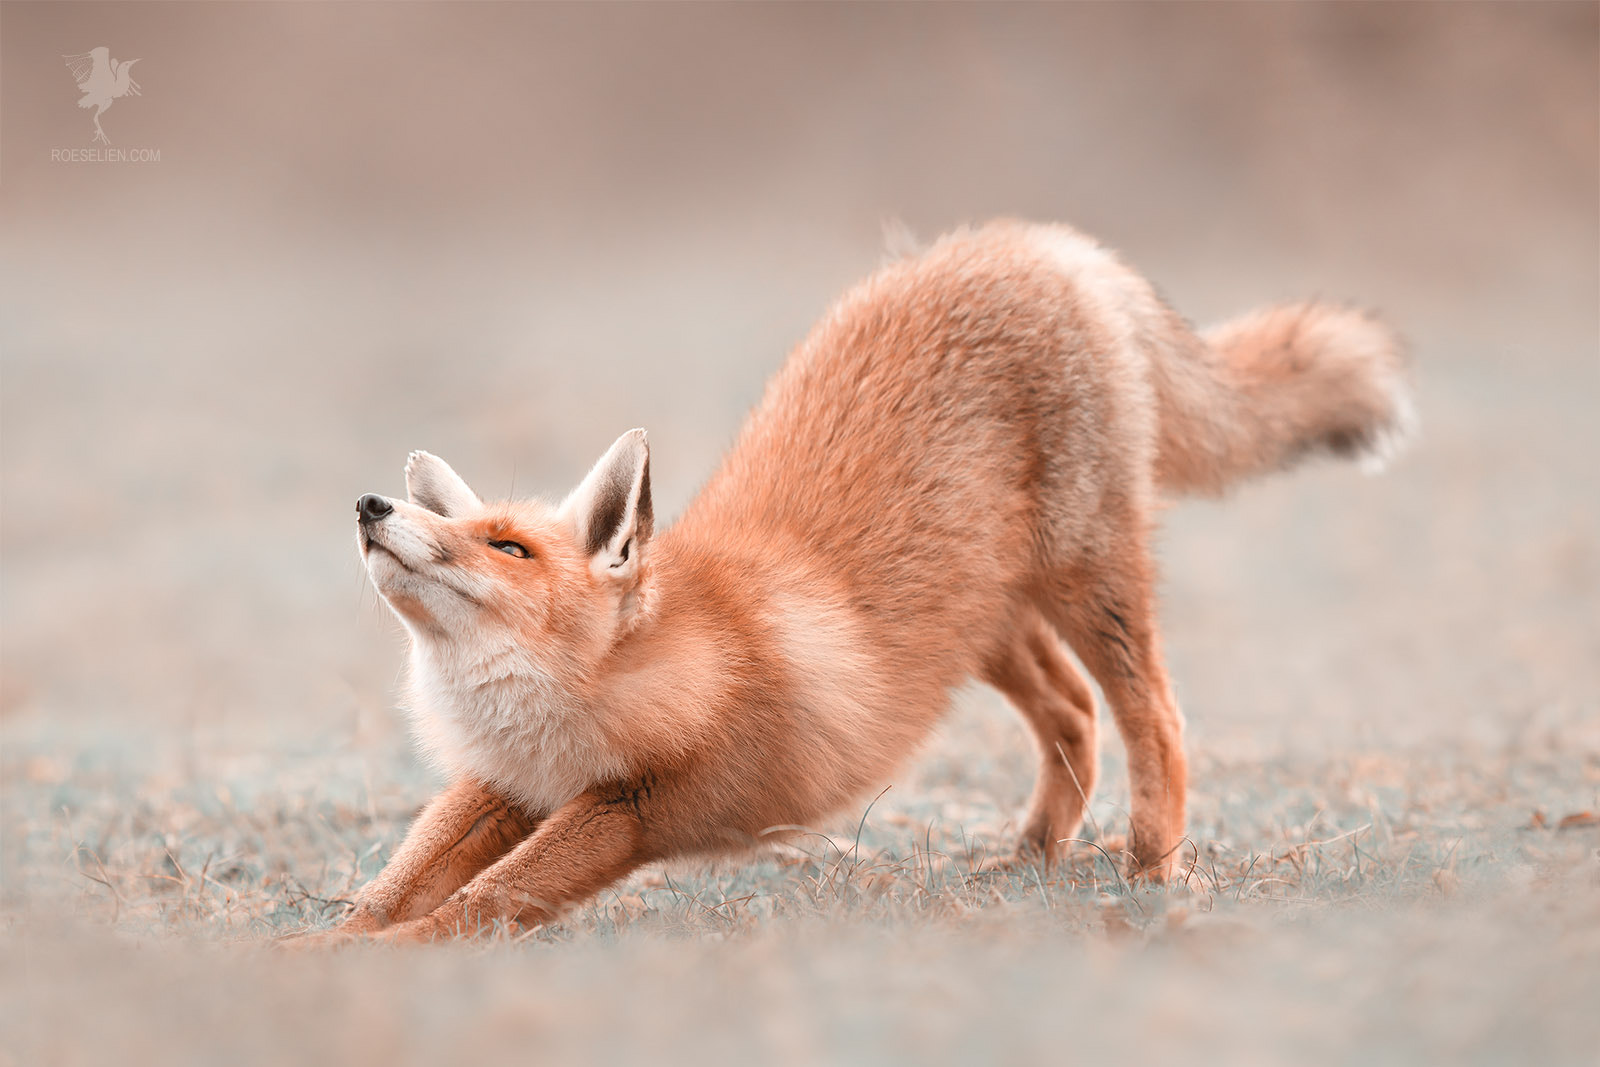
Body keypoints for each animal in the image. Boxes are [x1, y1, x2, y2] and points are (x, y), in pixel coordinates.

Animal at [295, 219, 1412, 945]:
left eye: (507, 546)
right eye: (460, 523)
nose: (371, 505)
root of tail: (1041, 241)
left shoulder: (635, 802)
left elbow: (480, 902)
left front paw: (370, 957)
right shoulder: (508, 783)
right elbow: (402, 878)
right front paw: (322, 941)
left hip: (1085, 577)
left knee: (1155, 720)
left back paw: (1147, 871)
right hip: (980, 621)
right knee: (1071, 712)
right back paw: (1032, 857)